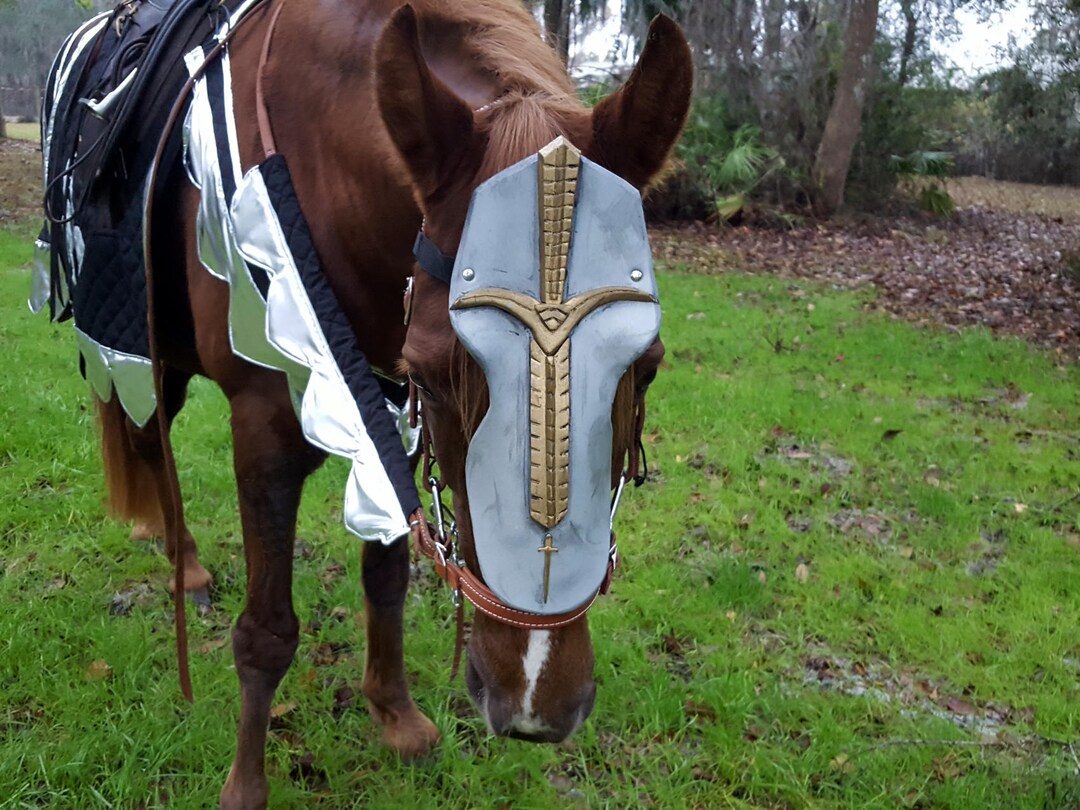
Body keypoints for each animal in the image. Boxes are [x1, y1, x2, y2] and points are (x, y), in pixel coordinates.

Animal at [39, 1, 692, 806]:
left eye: (647, 368)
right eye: (437, 375)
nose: (536, 703)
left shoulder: (392, 412)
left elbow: (386, 571)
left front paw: (395, 714)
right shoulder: (269, 427)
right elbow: (267, 631)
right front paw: (246, 785)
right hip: (146, 358)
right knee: (148, 440)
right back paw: (182, 563)